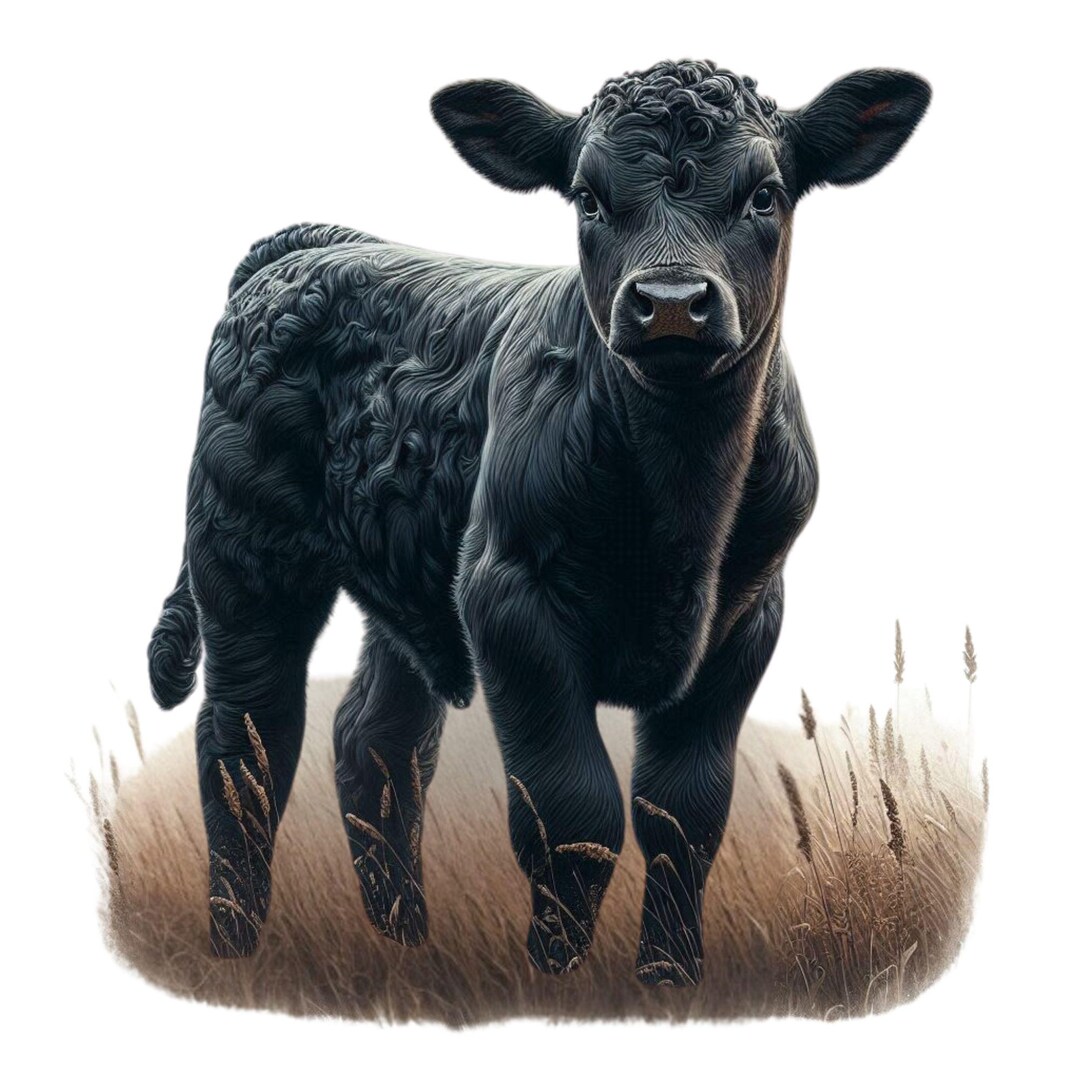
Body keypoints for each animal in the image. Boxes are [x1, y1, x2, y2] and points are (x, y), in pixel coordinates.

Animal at [148, 60, 930, 985]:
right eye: (587, 197)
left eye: (765, 195)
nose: (671, 302)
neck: (680, 507)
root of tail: (320, 245)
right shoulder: (510, 596)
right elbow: (572, 812)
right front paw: (555, 974)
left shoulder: (745, 620)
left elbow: (686, 813)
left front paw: (669, 980)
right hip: (246, 555)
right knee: (245, 746)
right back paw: (235, 943)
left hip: (410, 573)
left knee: (376, 741)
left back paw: (404, 941)